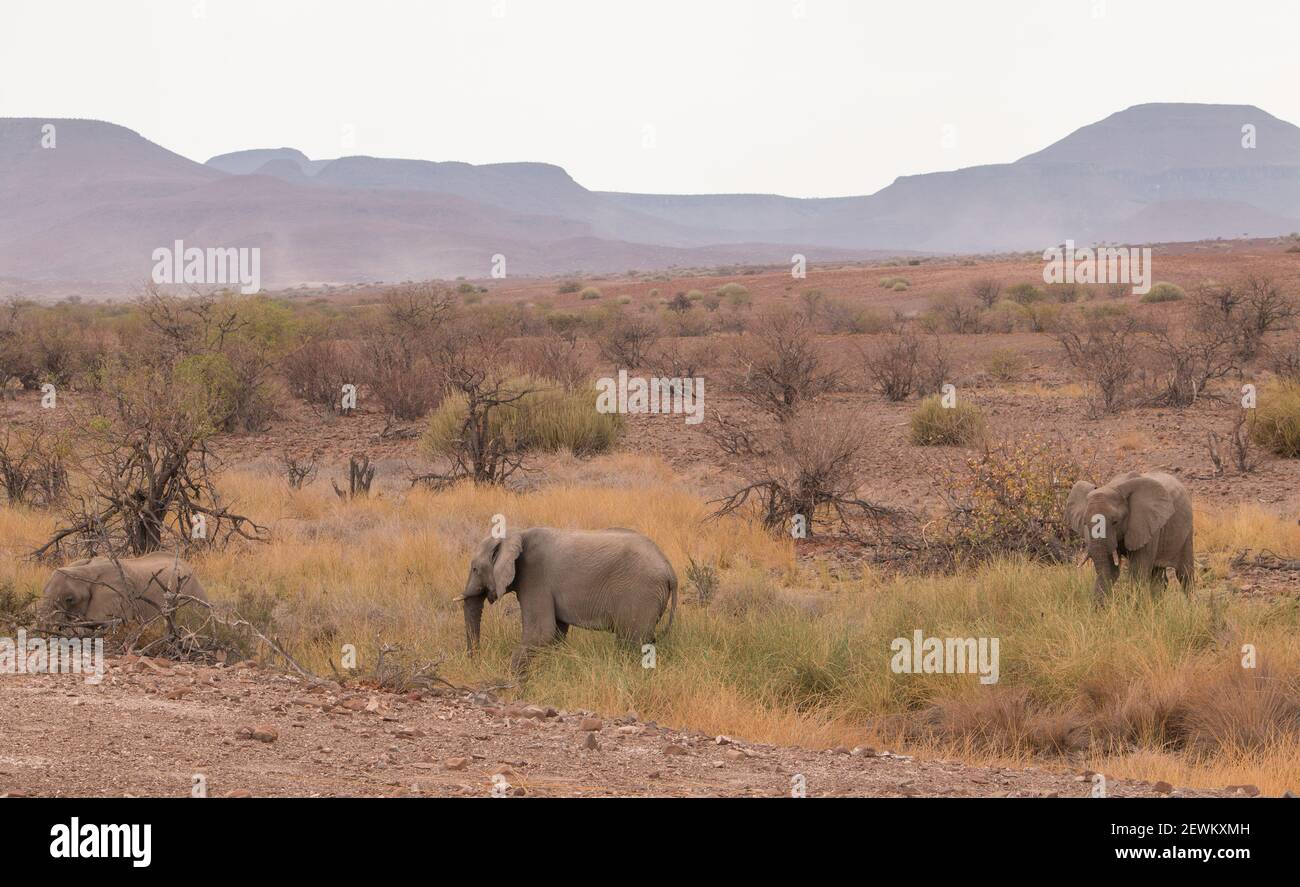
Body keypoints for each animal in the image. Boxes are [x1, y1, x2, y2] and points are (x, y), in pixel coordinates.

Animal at [455, 527, 678, 671]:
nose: (475, 663)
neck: (515, 534)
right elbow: (555, 635)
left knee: (632, 644)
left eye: (475, 569)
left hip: (640, 594)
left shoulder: (536, 578)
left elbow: (541, 633)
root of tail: (670, 569)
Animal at [1065, 471, 1194, 604]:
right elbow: (1110, 570)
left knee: (1184, 574)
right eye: (1085, 523)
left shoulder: (1145, 525)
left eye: (1115, 522)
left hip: (1186, 530)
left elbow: (1137, 571)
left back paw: (1190, 605)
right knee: (1158, 577)